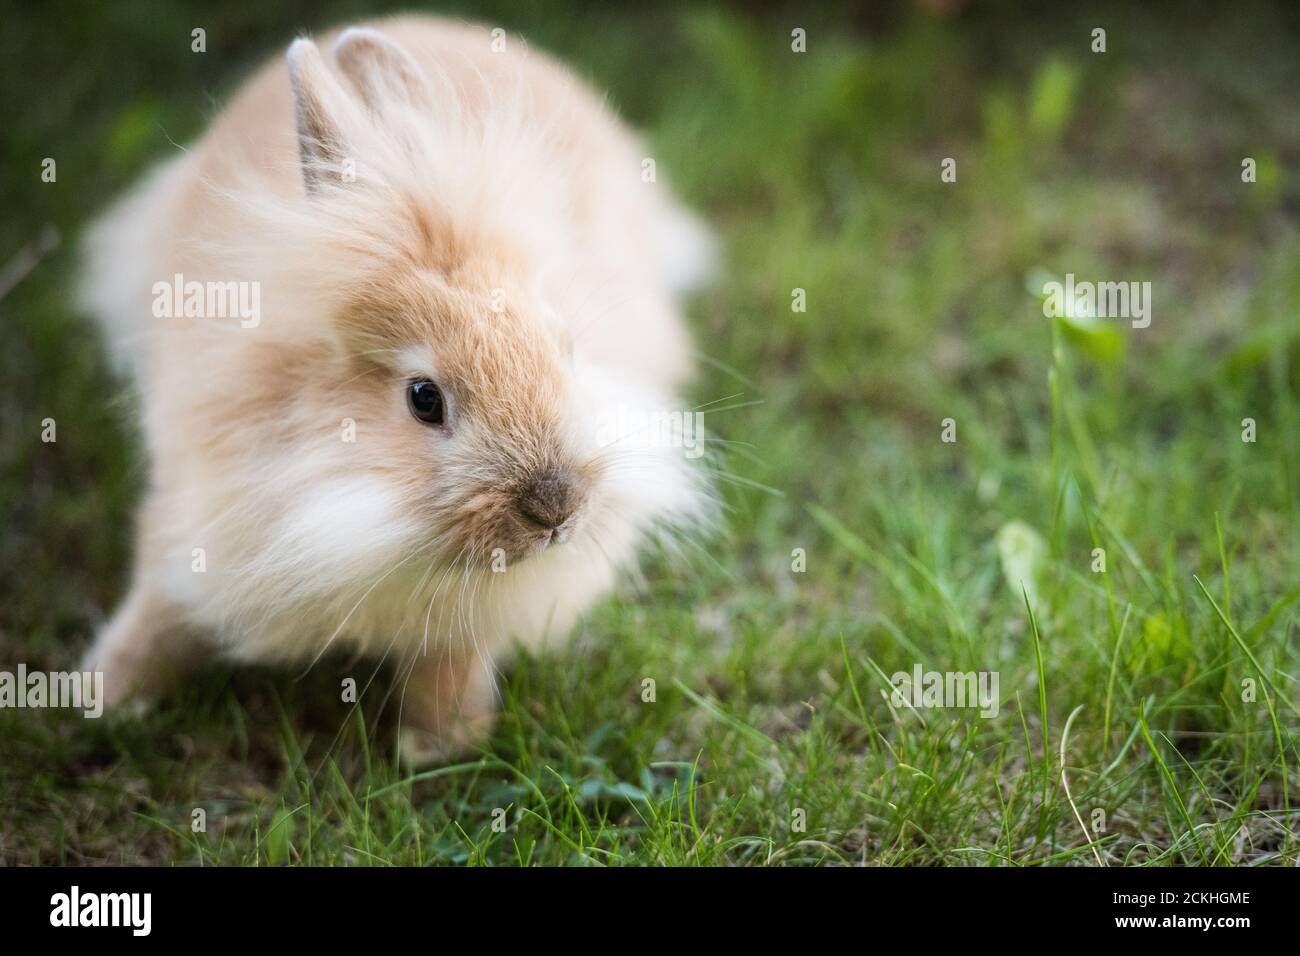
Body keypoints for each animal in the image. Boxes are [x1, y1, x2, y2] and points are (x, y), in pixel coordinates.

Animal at [78, 16, 715, 765]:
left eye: (566, 349)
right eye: (423, 398)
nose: (556, 508)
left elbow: (453, 662)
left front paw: (438, 743)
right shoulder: (193, 521)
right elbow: (158, 613)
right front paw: (101, 696)